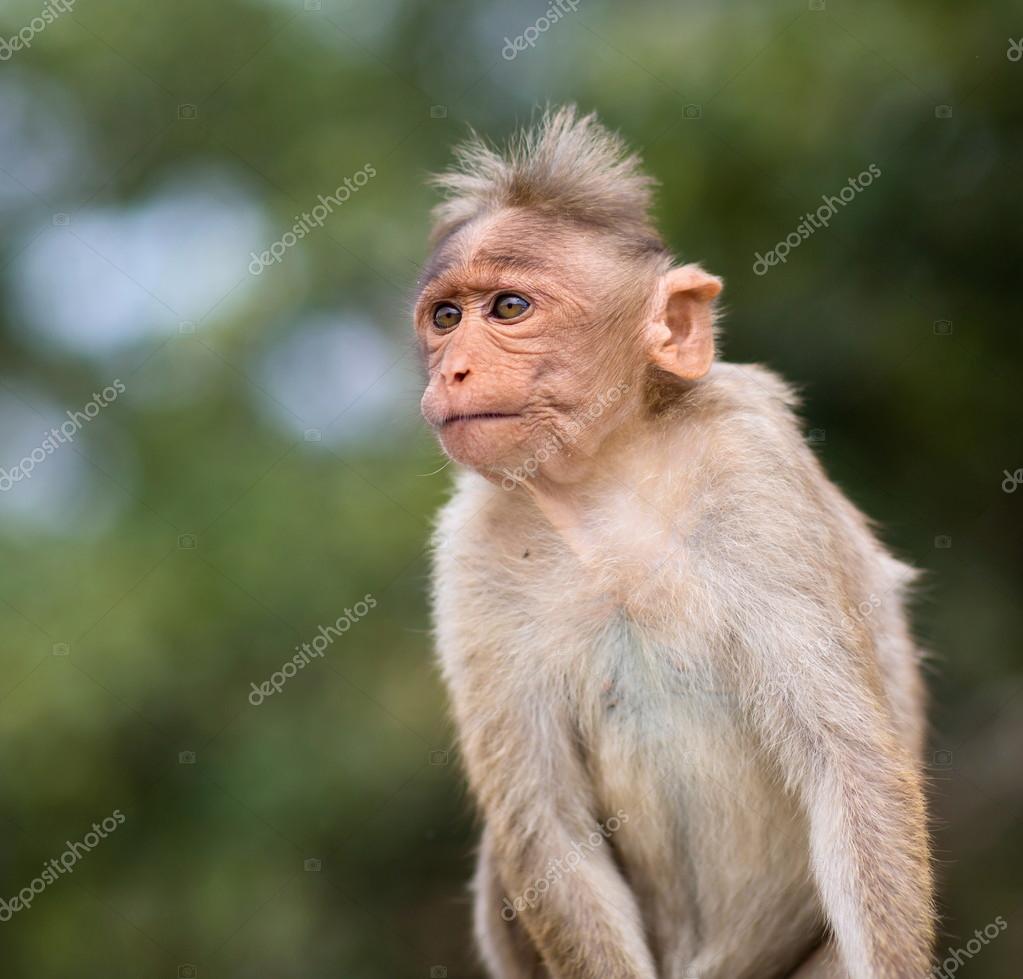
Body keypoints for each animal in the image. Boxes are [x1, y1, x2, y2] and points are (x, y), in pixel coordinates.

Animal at [414, 107, 934, 979]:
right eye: (446, 317)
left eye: (509, 308)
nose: (450, 368)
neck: (608, 485)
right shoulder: (467, 549)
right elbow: (548, 827)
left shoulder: (754, 470)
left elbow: (848, 766)